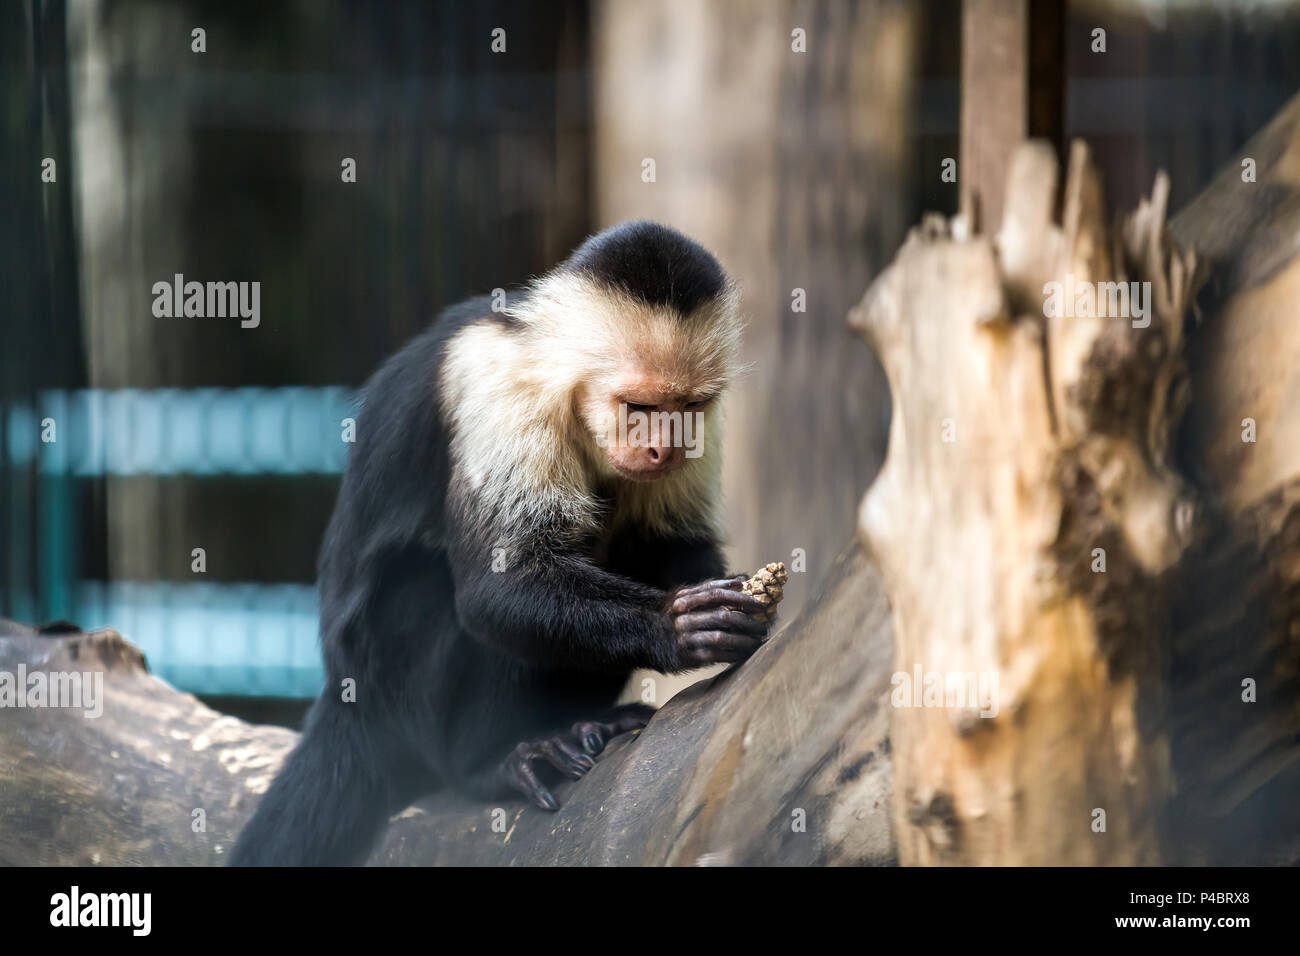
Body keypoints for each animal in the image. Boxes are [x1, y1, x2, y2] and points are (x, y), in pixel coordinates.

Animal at [229, 221, 773, 866]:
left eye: (687, 408)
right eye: (638, 406)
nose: (662, 448)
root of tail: (346, 705)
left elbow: (669, 542)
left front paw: (736, 608)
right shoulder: (502, 390)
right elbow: (500, 586)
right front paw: (676, 625)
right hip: (396, 702)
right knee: (431, 591)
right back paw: (489, 765)